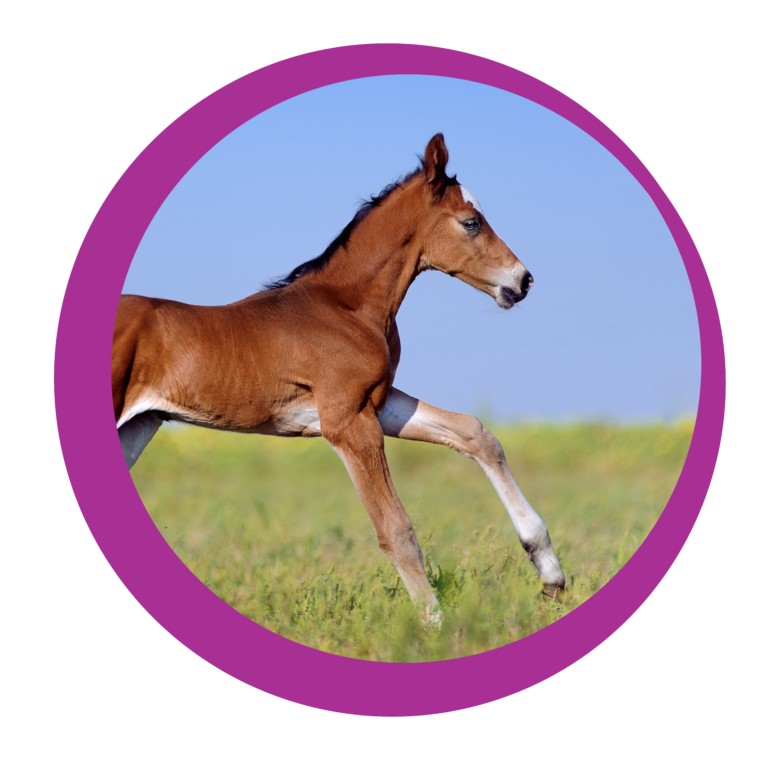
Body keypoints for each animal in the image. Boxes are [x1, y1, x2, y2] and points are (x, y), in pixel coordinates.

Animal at [112, 133, 566, 626]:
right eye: (471, 222)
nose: (523, 280)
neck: (347, 307)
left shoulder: (376, 404)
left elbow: (474, 433)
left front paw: (550, 574)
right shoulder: (346, 423)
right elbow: (396, 529)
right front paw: (435, 627)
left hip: (138, 424)